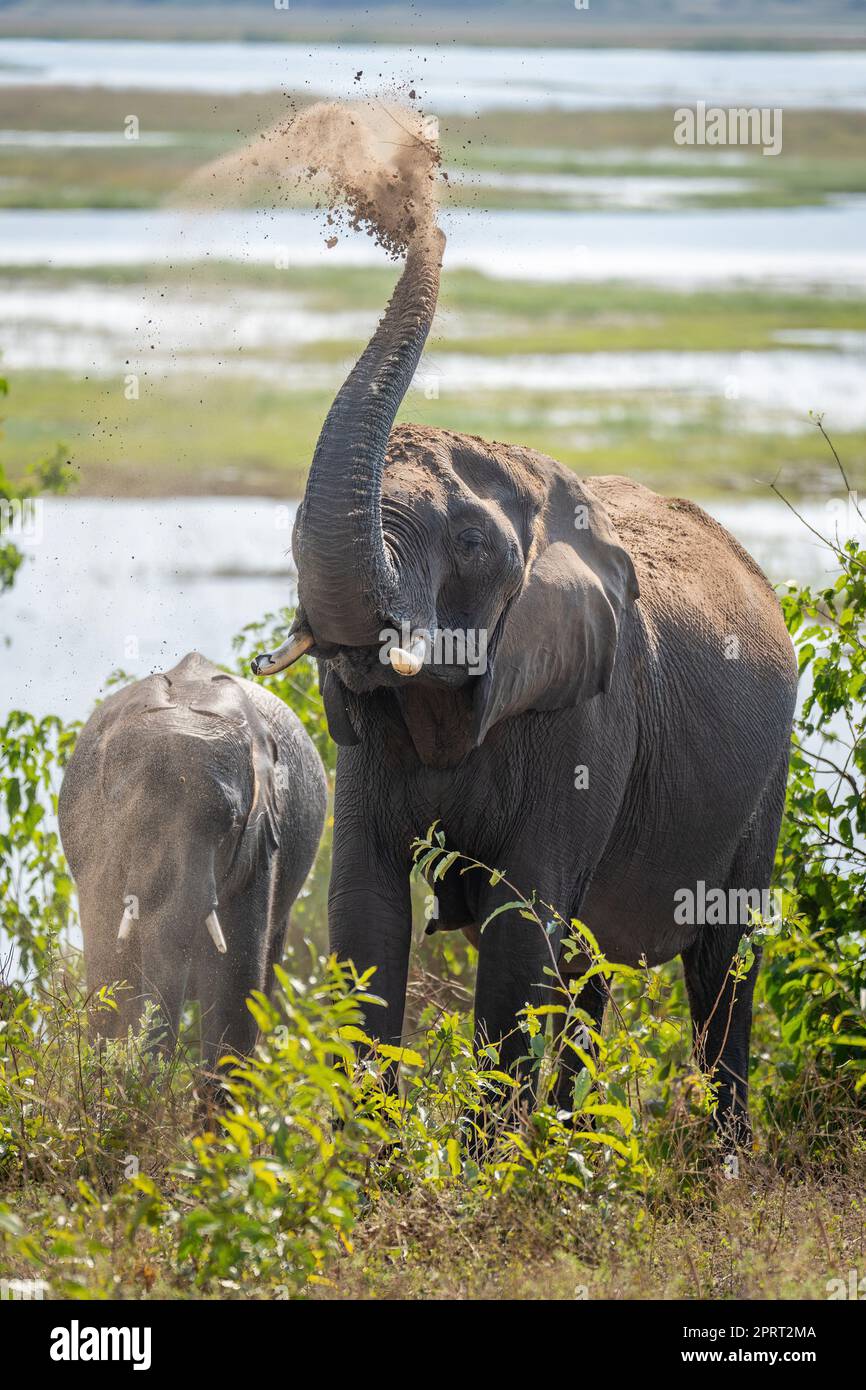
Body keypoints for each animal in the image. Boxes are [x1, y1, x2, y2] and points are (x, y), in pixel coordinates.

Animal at [59, 652, 326, 1066]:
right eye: (131, 820)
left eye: (229, 825)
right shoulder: (95, 839)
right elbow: (111, 977)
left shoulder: (260, 844)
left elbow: (235, 990)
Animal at [251, 224, 797, 1141]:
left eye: (471, 544)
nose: (428, 223)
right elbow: (365, 912)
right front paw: (373, 1163)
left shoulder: (588, 718)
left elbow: (520, 925)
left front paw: (476, 1167)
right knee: (588, 971)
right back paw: (574, 1149)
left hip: (766, 776)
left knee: (722, 964)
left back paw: (720, 1156)